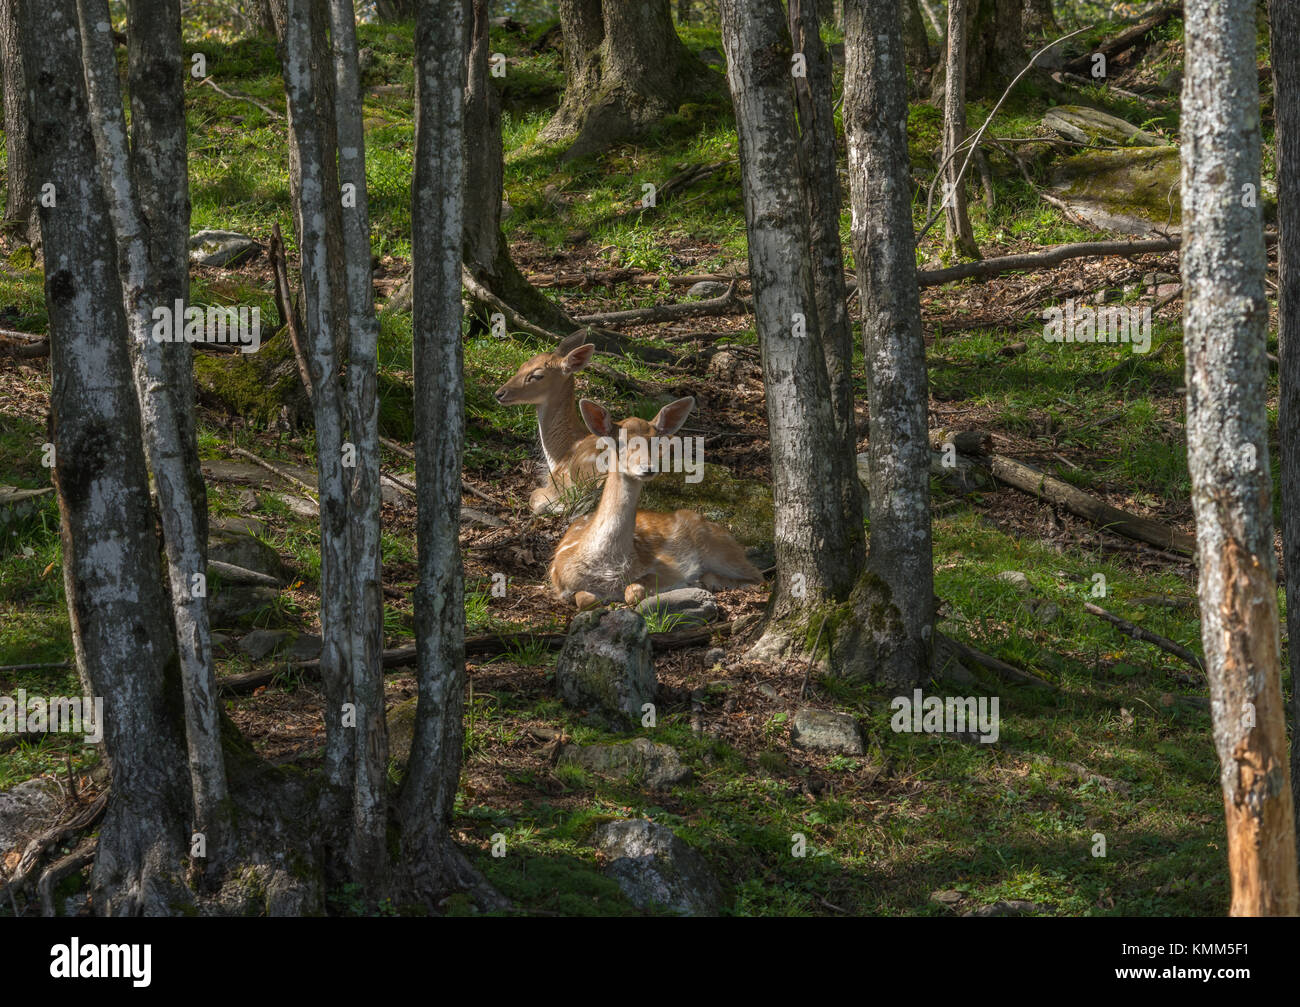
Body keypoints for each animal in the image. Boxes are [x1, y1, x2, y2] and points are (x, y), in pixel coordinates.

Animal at [548, 396, 763, 610]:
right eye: (620, 442)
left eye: (656, 440)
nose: (648, 468)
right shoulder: (561, 580)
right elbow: (584, 598)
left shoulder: (666, 566)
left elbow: (634, 590)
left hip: (721, 551)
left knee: (757, 576)